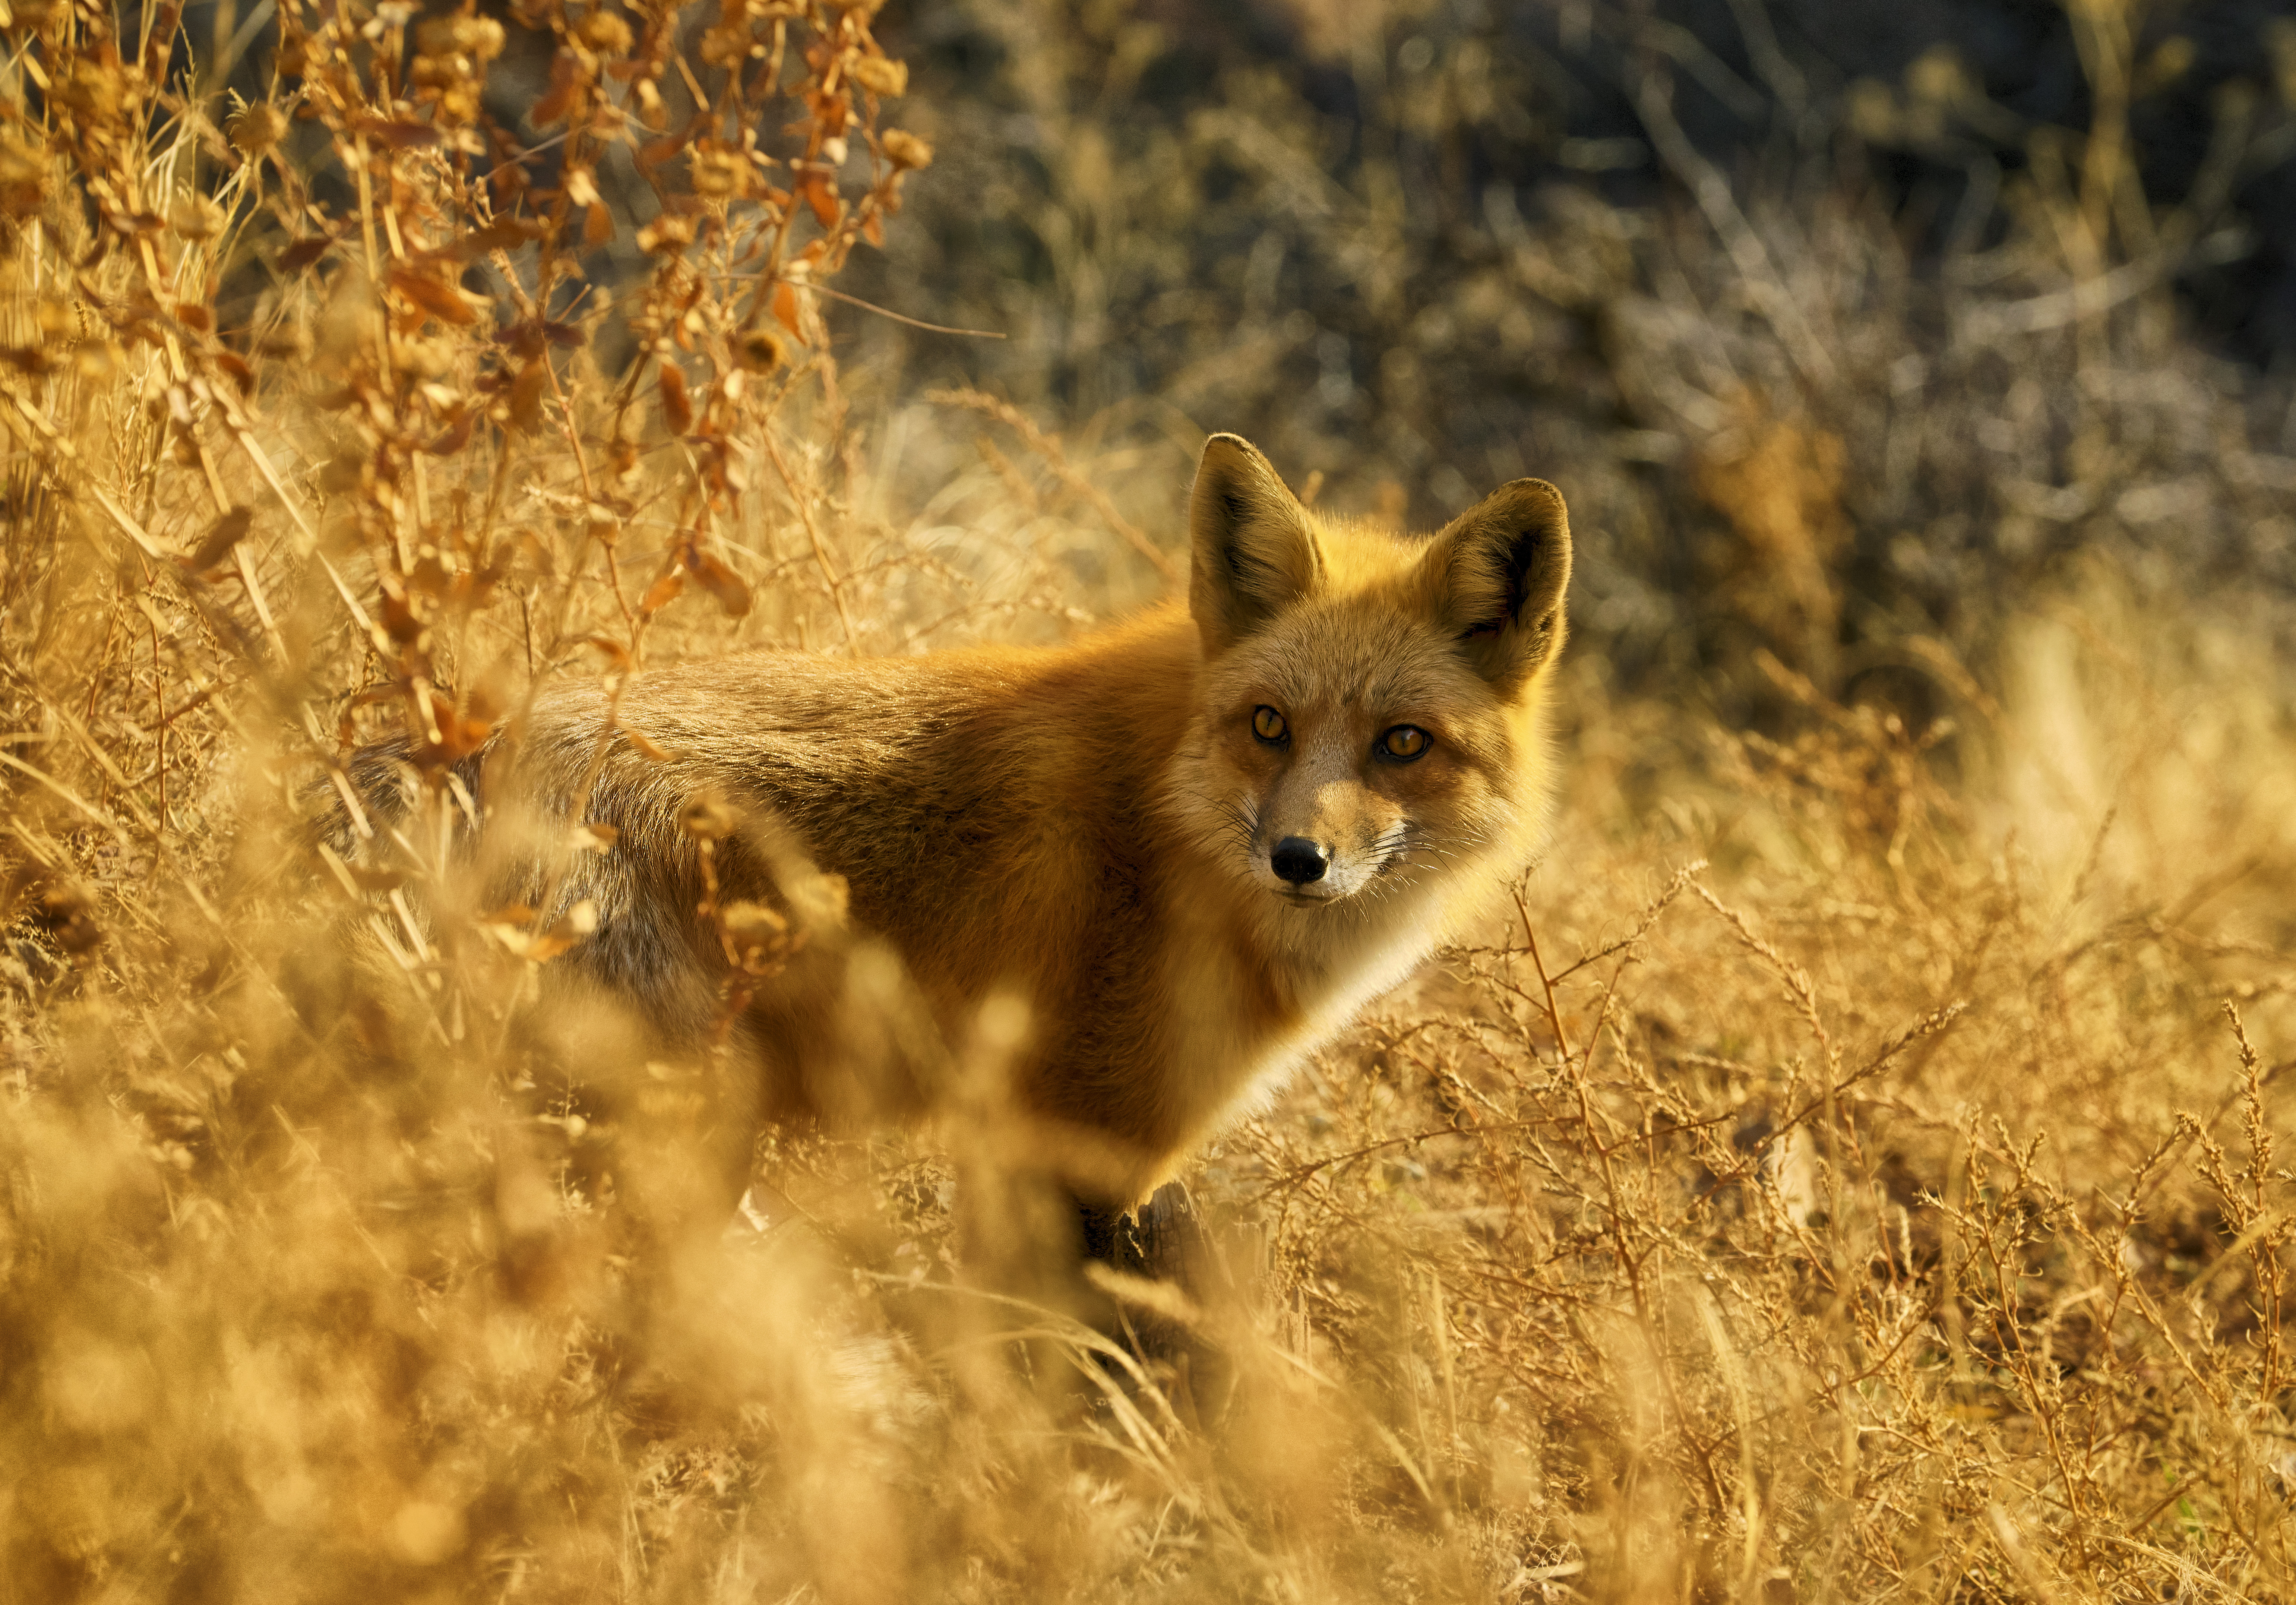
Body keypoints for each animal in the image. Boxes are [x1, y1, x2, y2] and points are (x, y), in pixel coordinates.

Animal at [343, 434, 1571, 1262]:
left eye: (1401, 743)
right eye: (1269, 724)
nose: (1299, 859)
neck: (1167, 823)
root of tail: (438, 749)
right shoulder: (1068, 1151)